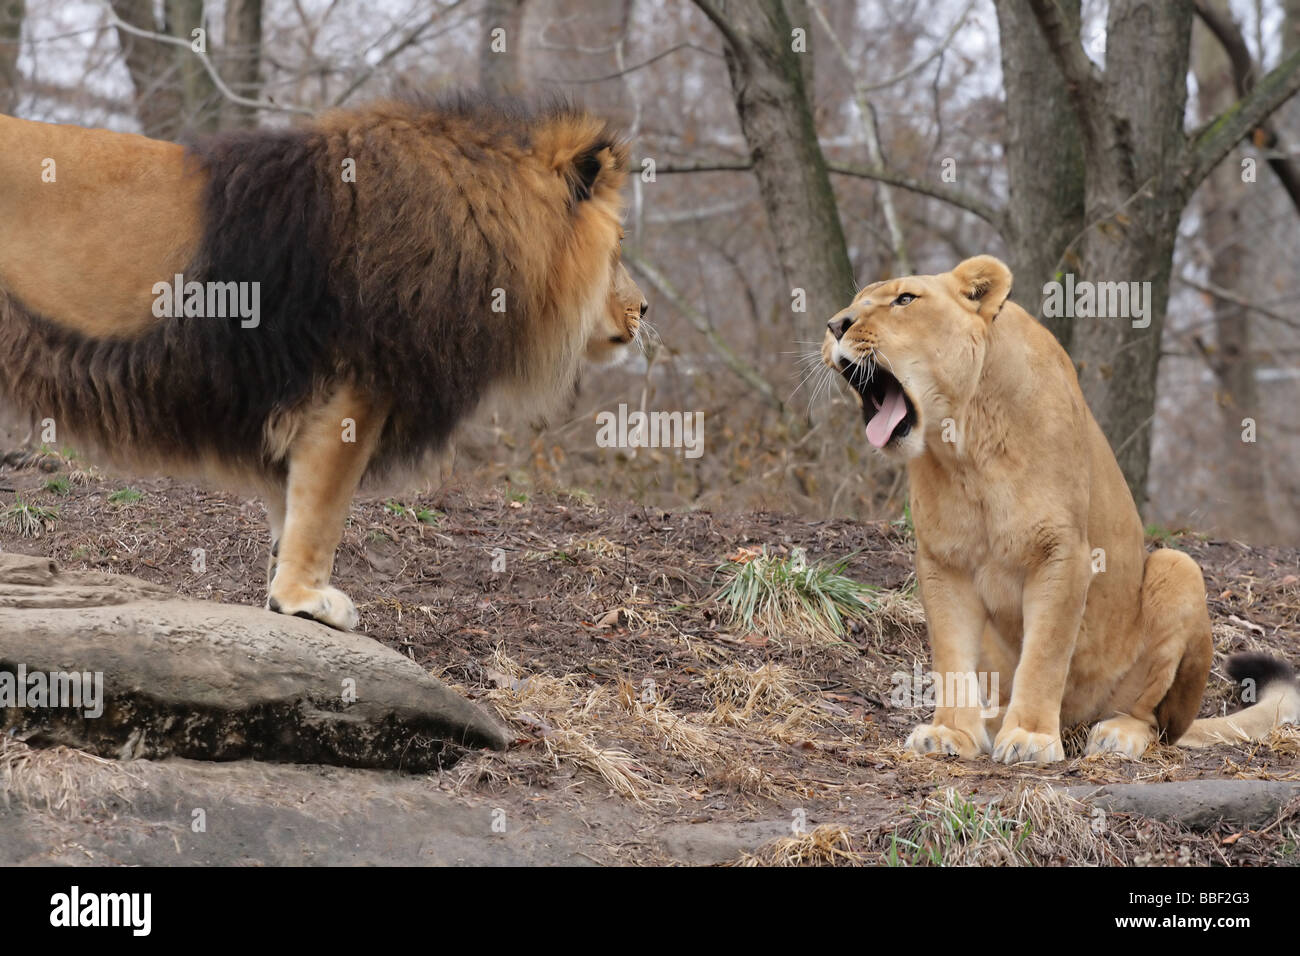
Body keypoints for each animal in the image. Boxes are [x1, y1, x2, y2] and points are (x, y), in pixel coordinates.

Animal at [0, 92, 644, 632]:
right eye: (617, 249)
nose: (643, 307)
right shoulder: (354, 389)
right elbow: (323, 508)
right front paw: (305, 601)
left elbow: (287, 508)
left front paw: (278, 594)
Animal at [822, 255, 1298, 763]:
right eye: (856, 301)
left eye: (905, 300)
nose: (835, 325)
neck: (964, 447)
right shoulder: (943, 560)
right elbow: (950, 656)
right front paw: (951, 733)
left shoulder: (1063, 552)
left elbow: (1045, 654)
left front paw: (1030, 737)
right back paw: (991, 722)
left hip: (1178, 569)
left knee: (1155, 720)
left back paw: (1116, 733)